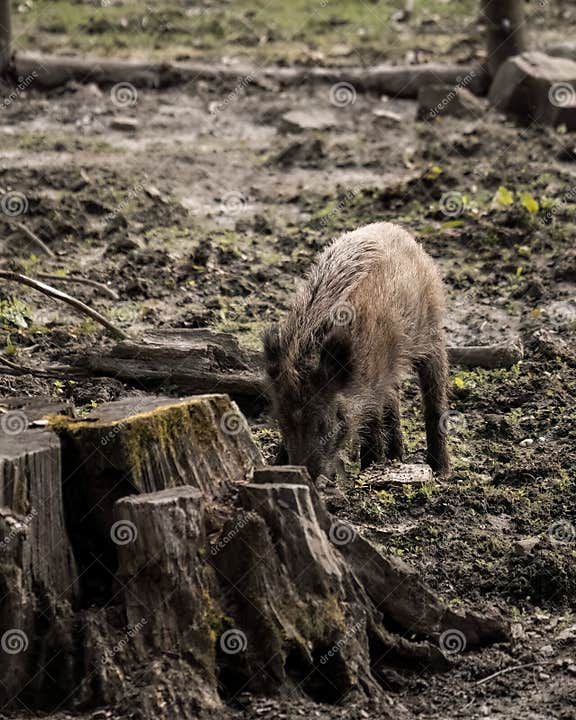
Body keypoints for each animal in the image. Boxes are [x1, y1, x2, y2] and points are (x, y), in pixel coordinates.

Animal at [262, 221, 450, 479]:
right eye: (282, 421)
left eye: (324, 423)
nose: (303, 472)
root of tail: (397, 230)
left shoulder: (372, 382)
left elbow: (371, 419)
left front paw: (370, 466)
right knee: (394, 397)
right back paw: (396, 457)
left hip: (432, 333)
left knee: (434, 397)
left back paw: (440, 469)